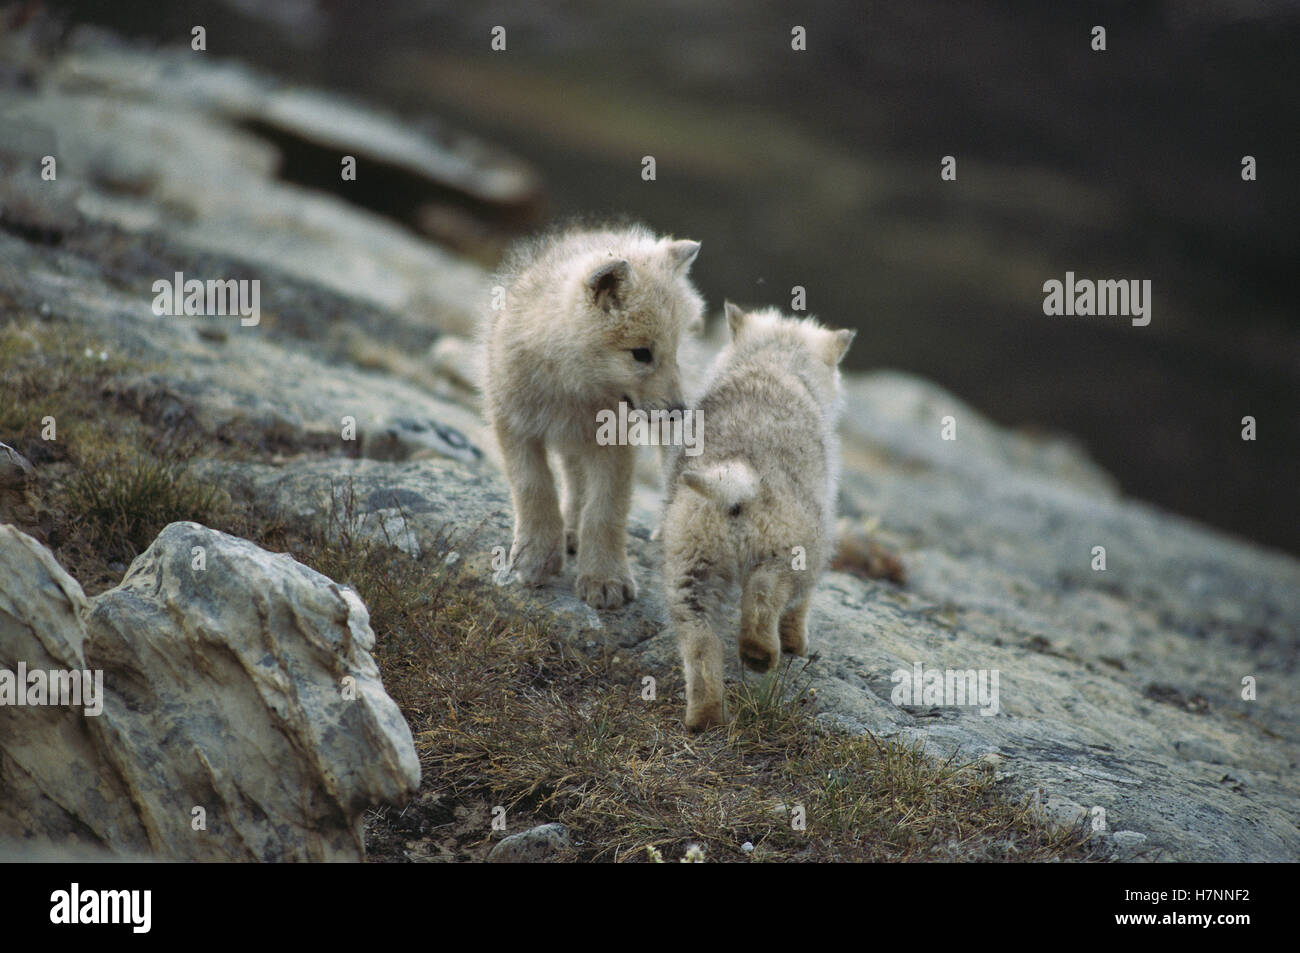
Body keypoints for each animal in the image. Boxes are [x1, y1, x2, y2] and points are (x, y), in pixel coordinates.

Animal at [481, 224, 703, 609]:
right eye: (641, 353)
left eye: (673, 351)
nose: (679, 411)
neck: (571, 385)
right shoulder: (513, 422)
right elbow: (533, 487)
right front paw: (537, 554)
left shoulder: (614, 443)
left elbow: (606, 511)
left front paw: (604, 577)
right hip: (571, 438)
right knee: (573, 480)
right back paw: (569, 532)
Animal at [661, 303, 854, 729]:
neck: (774, 362)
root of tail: (735, 480)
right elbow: (799, 607)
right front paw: (798, 643)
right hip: (787, 550)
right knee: (766, 595)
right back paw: (760, 654)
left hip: (689, 567)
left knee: (699, 643)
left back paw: (706, 717)